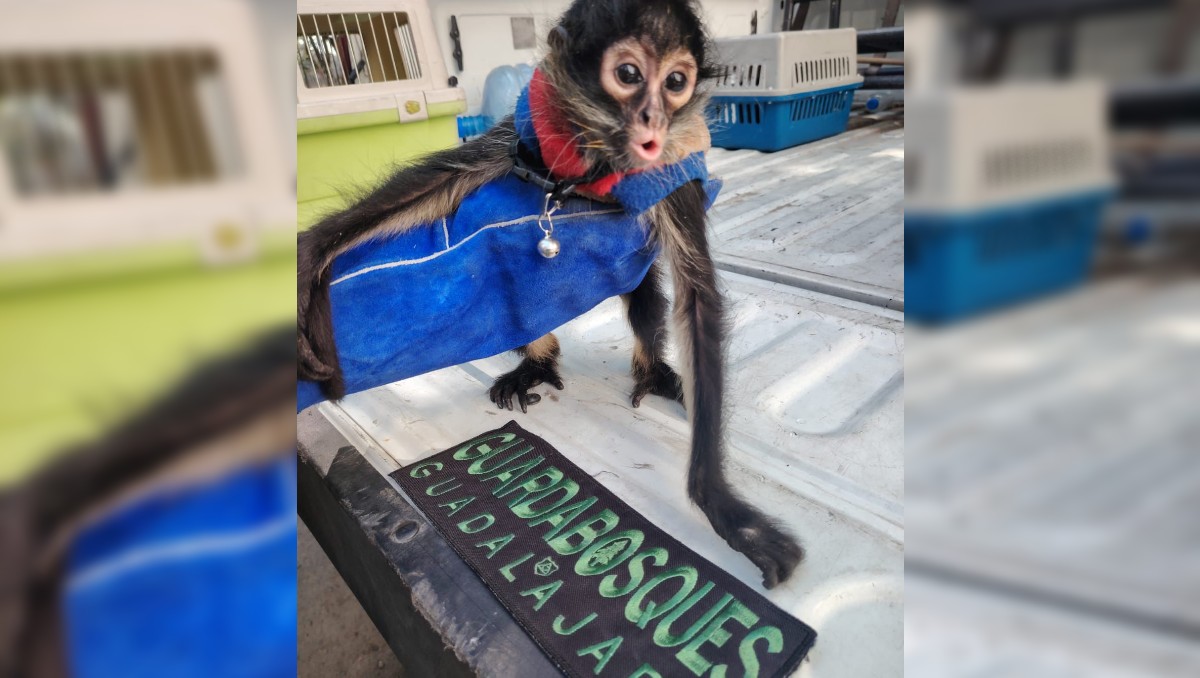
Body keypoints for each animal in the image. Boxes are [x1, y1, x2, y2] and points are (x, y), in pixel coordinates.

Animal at [297, 0, 803, 588]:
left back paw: (652, 371)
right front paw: (309, 255)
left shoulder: (673, 166)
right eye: (627, 74)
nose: (653, 120)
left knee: (644, 305)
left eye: (676, 82)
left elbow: (697, 298)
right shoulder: (526, 133)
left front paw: (722, 511)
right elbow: (439, 190)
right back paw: (537, 361)